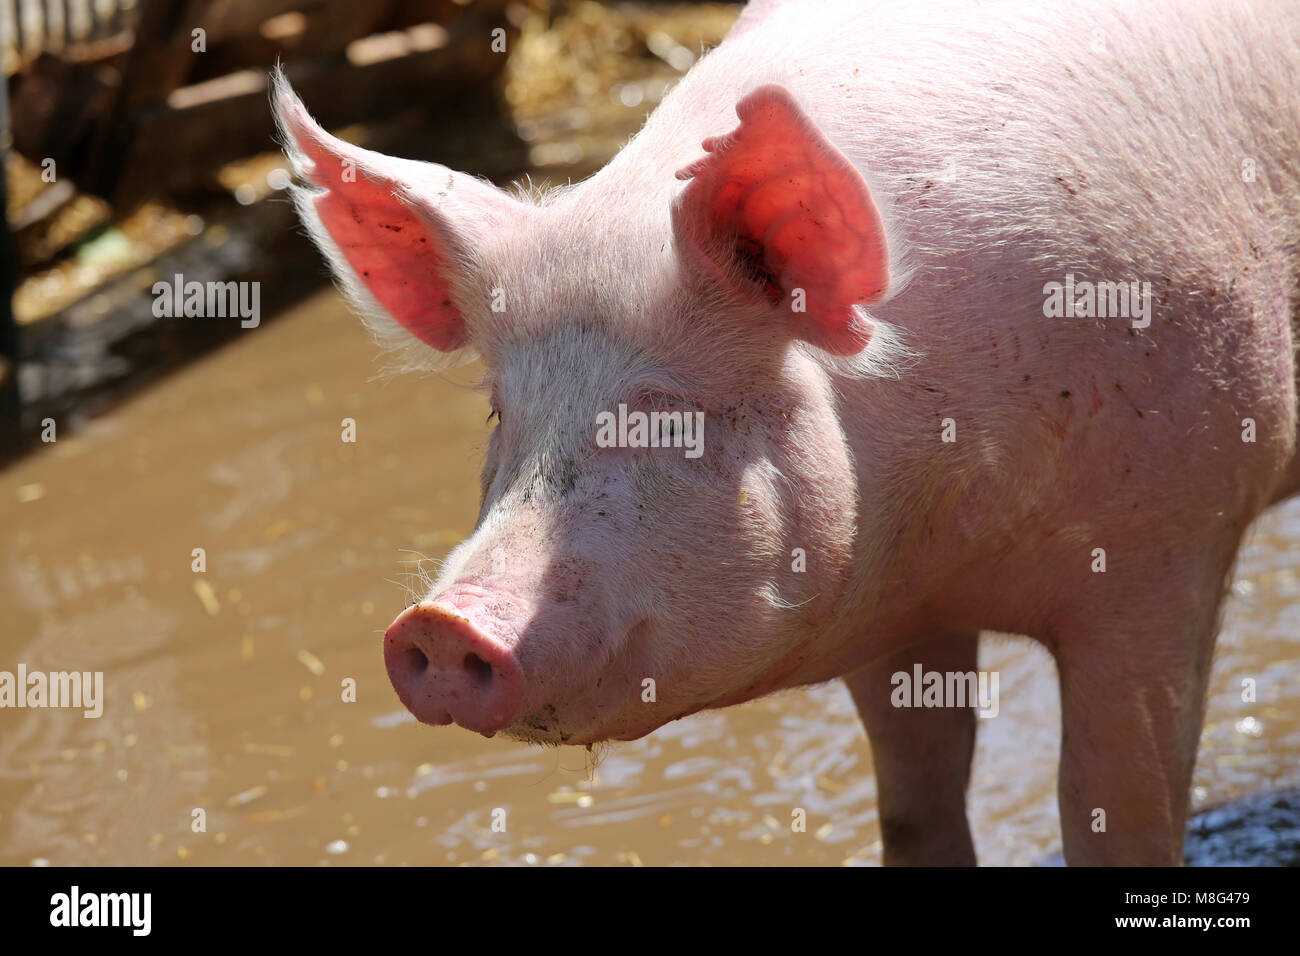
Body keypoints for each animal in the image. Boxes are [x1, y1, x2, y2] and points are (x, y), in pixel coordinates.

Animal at [273, 0, 1300, 865]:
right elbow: (914, 807)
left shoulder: (1168, 547)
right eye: (500, 413)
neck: (956, 534)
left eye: (668, 416)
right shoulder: (894, 614)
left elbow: (1116, 812)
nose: (442, 625)